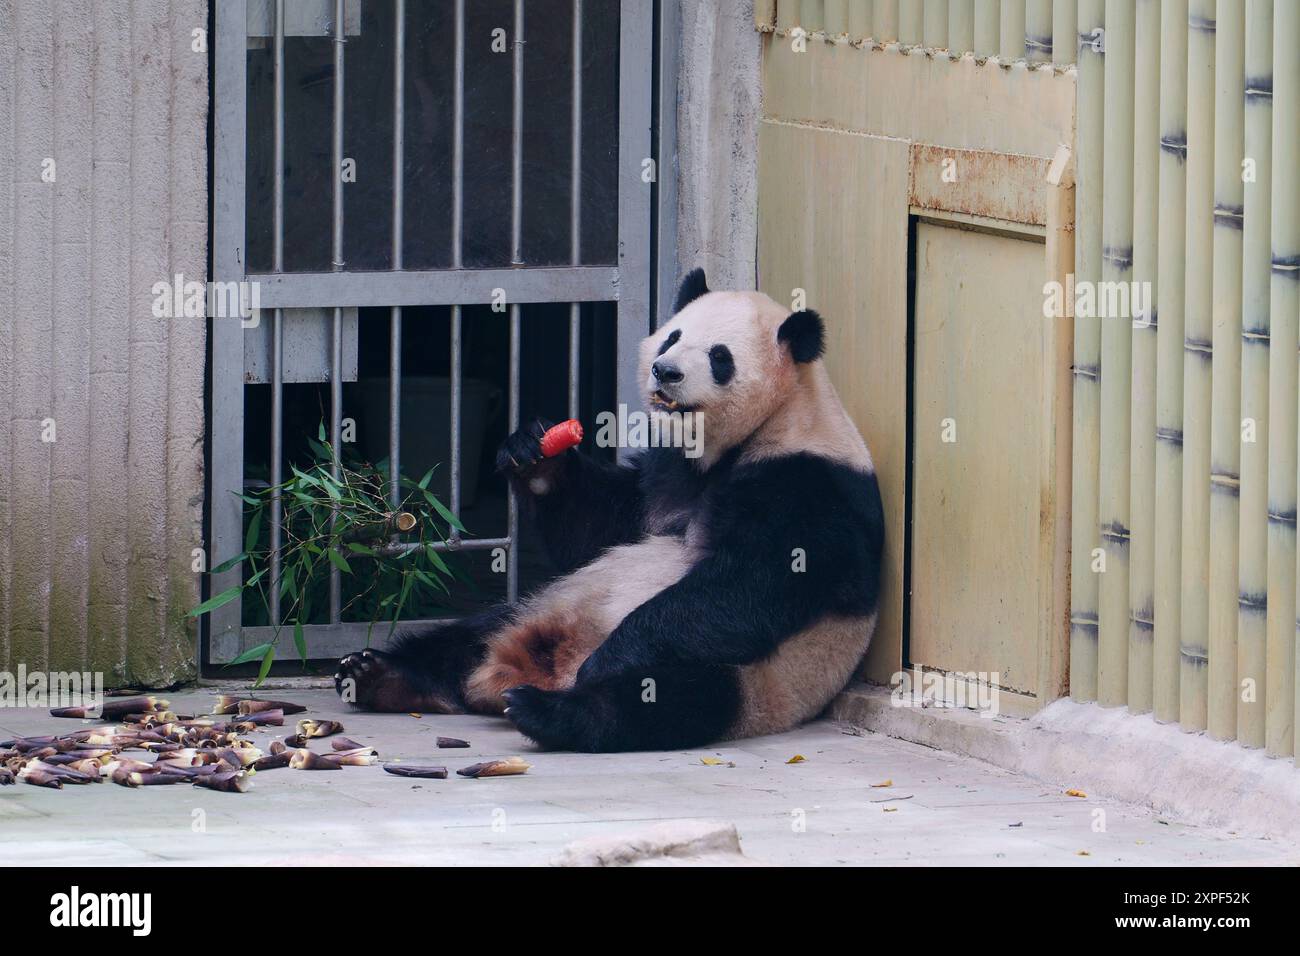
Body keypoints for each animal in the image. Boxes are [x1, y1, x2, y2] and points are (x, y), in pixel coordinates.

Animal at [334, 269, 884, 752]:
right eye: (672, 337)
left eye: (719, 356)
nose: (666, 371)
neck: (771, 420)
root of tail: (540, 667)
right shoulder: (666, 471)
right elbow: (602, 529)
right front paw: (536, 454)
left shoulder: (806, 482)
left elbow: (750, 582)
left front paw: (607, 663)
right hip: (542, 604)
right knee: (463, 637)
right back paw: (377, 674)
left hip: (756, 680)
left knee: (670, 698)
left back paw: (550, 710)